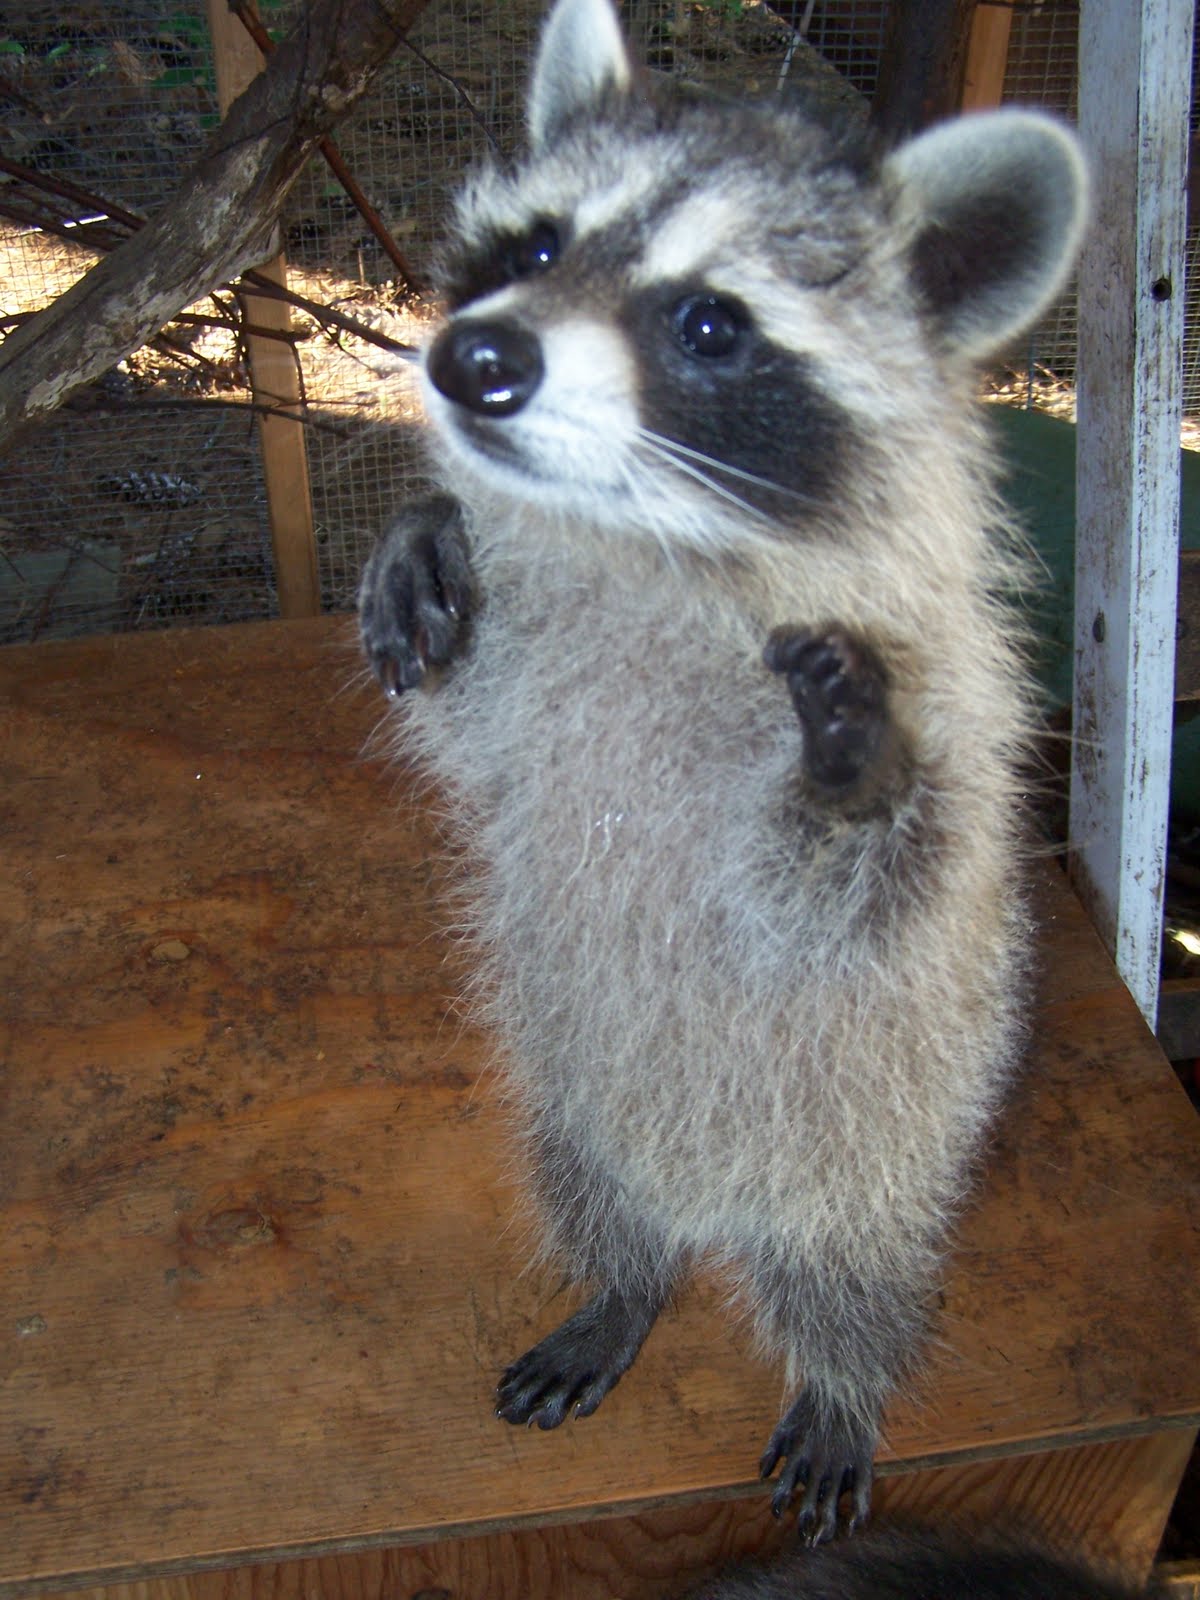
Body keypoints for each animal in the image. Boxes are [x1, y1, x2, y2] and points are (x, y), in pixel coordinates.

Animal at [359, 0, 1087, 1543]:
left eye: (709, 323)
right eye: (533, 249)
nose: (475, 360)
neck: (647, 540)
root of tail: (714, 1208)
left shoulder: (957, 695)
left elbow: (877, 882)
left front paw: (853, 780)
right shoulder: (533, 697)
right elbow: (474, 736)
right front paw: (422, 536)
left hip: (891, 1128)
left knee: (858, 1264)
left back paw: (843, 1370)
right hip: (572, 1095)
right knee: (592, 1187)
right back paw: (626, 1280)